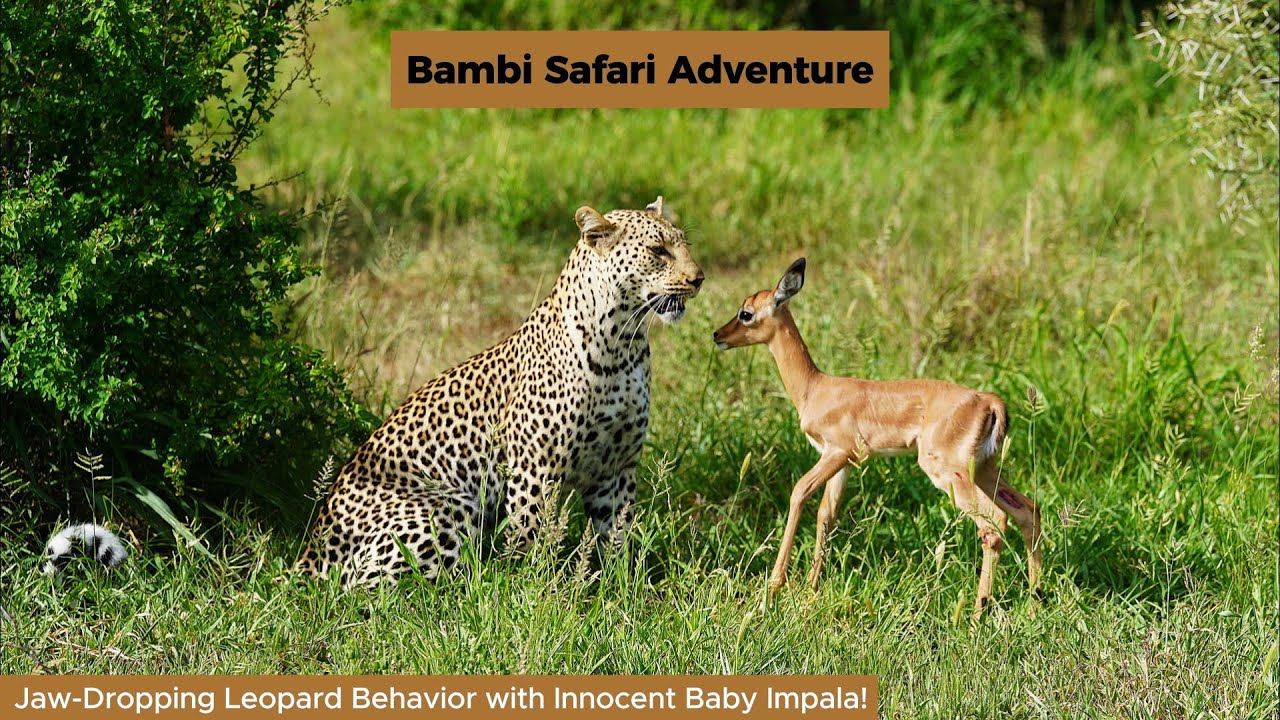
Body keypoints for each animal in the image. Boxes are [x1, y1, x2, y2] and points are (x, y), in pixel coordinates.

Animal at [296, 197, 704, 586]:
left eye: (684, 245)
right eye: (658, 250)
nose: (699, 279)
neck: (623, 346)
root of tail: (308, 553)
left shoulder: (617, 467)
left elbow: (618, 536)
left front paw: (623, 587)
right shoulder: (534, 470)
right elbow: (530, 539)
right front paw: (533, 589)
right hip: (447, 505)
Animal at [713, 258, 1043, 618]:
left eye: (746, 312)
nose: (718, 335)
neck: (815, 389)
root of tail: (989, 401)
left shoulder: (836, 451)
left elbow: (799, 492)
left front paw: (772, 589)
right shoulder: (844, 463)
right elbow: (826, 514)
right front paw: (811, 590)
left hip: (948, 473)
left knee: (994, 524)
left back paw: (974, 617)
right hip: (983, 469)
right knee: (1028, 511)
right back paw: (1033, 605)